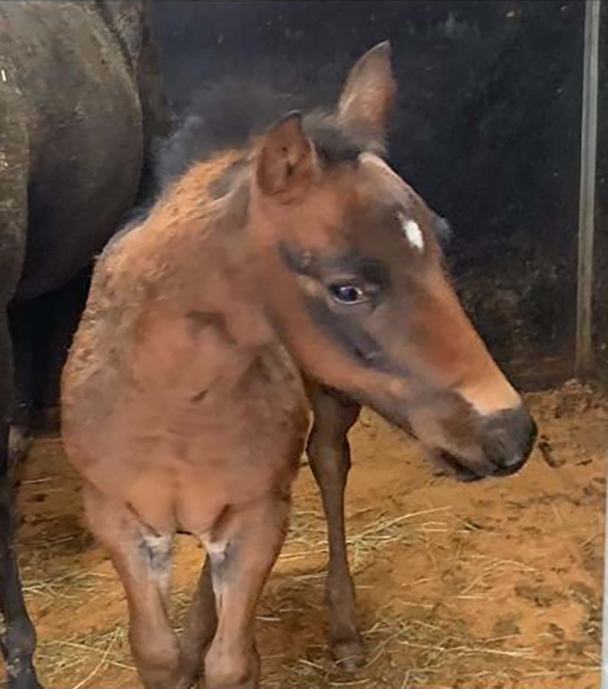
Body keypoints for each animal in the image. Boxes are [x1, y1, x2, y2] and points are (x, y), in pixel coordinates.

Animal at [61, 42, 537, 689]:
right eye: (346, 289)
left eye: (440, 245)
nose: (511, 433)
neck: (174, 403)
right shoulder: (116, 517)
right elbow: (154, 653)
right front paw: (182, 652)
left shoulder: (262, 516)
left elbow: (234, 663)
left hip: (330, 398)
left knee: (330, 459)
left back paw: (343, 630)